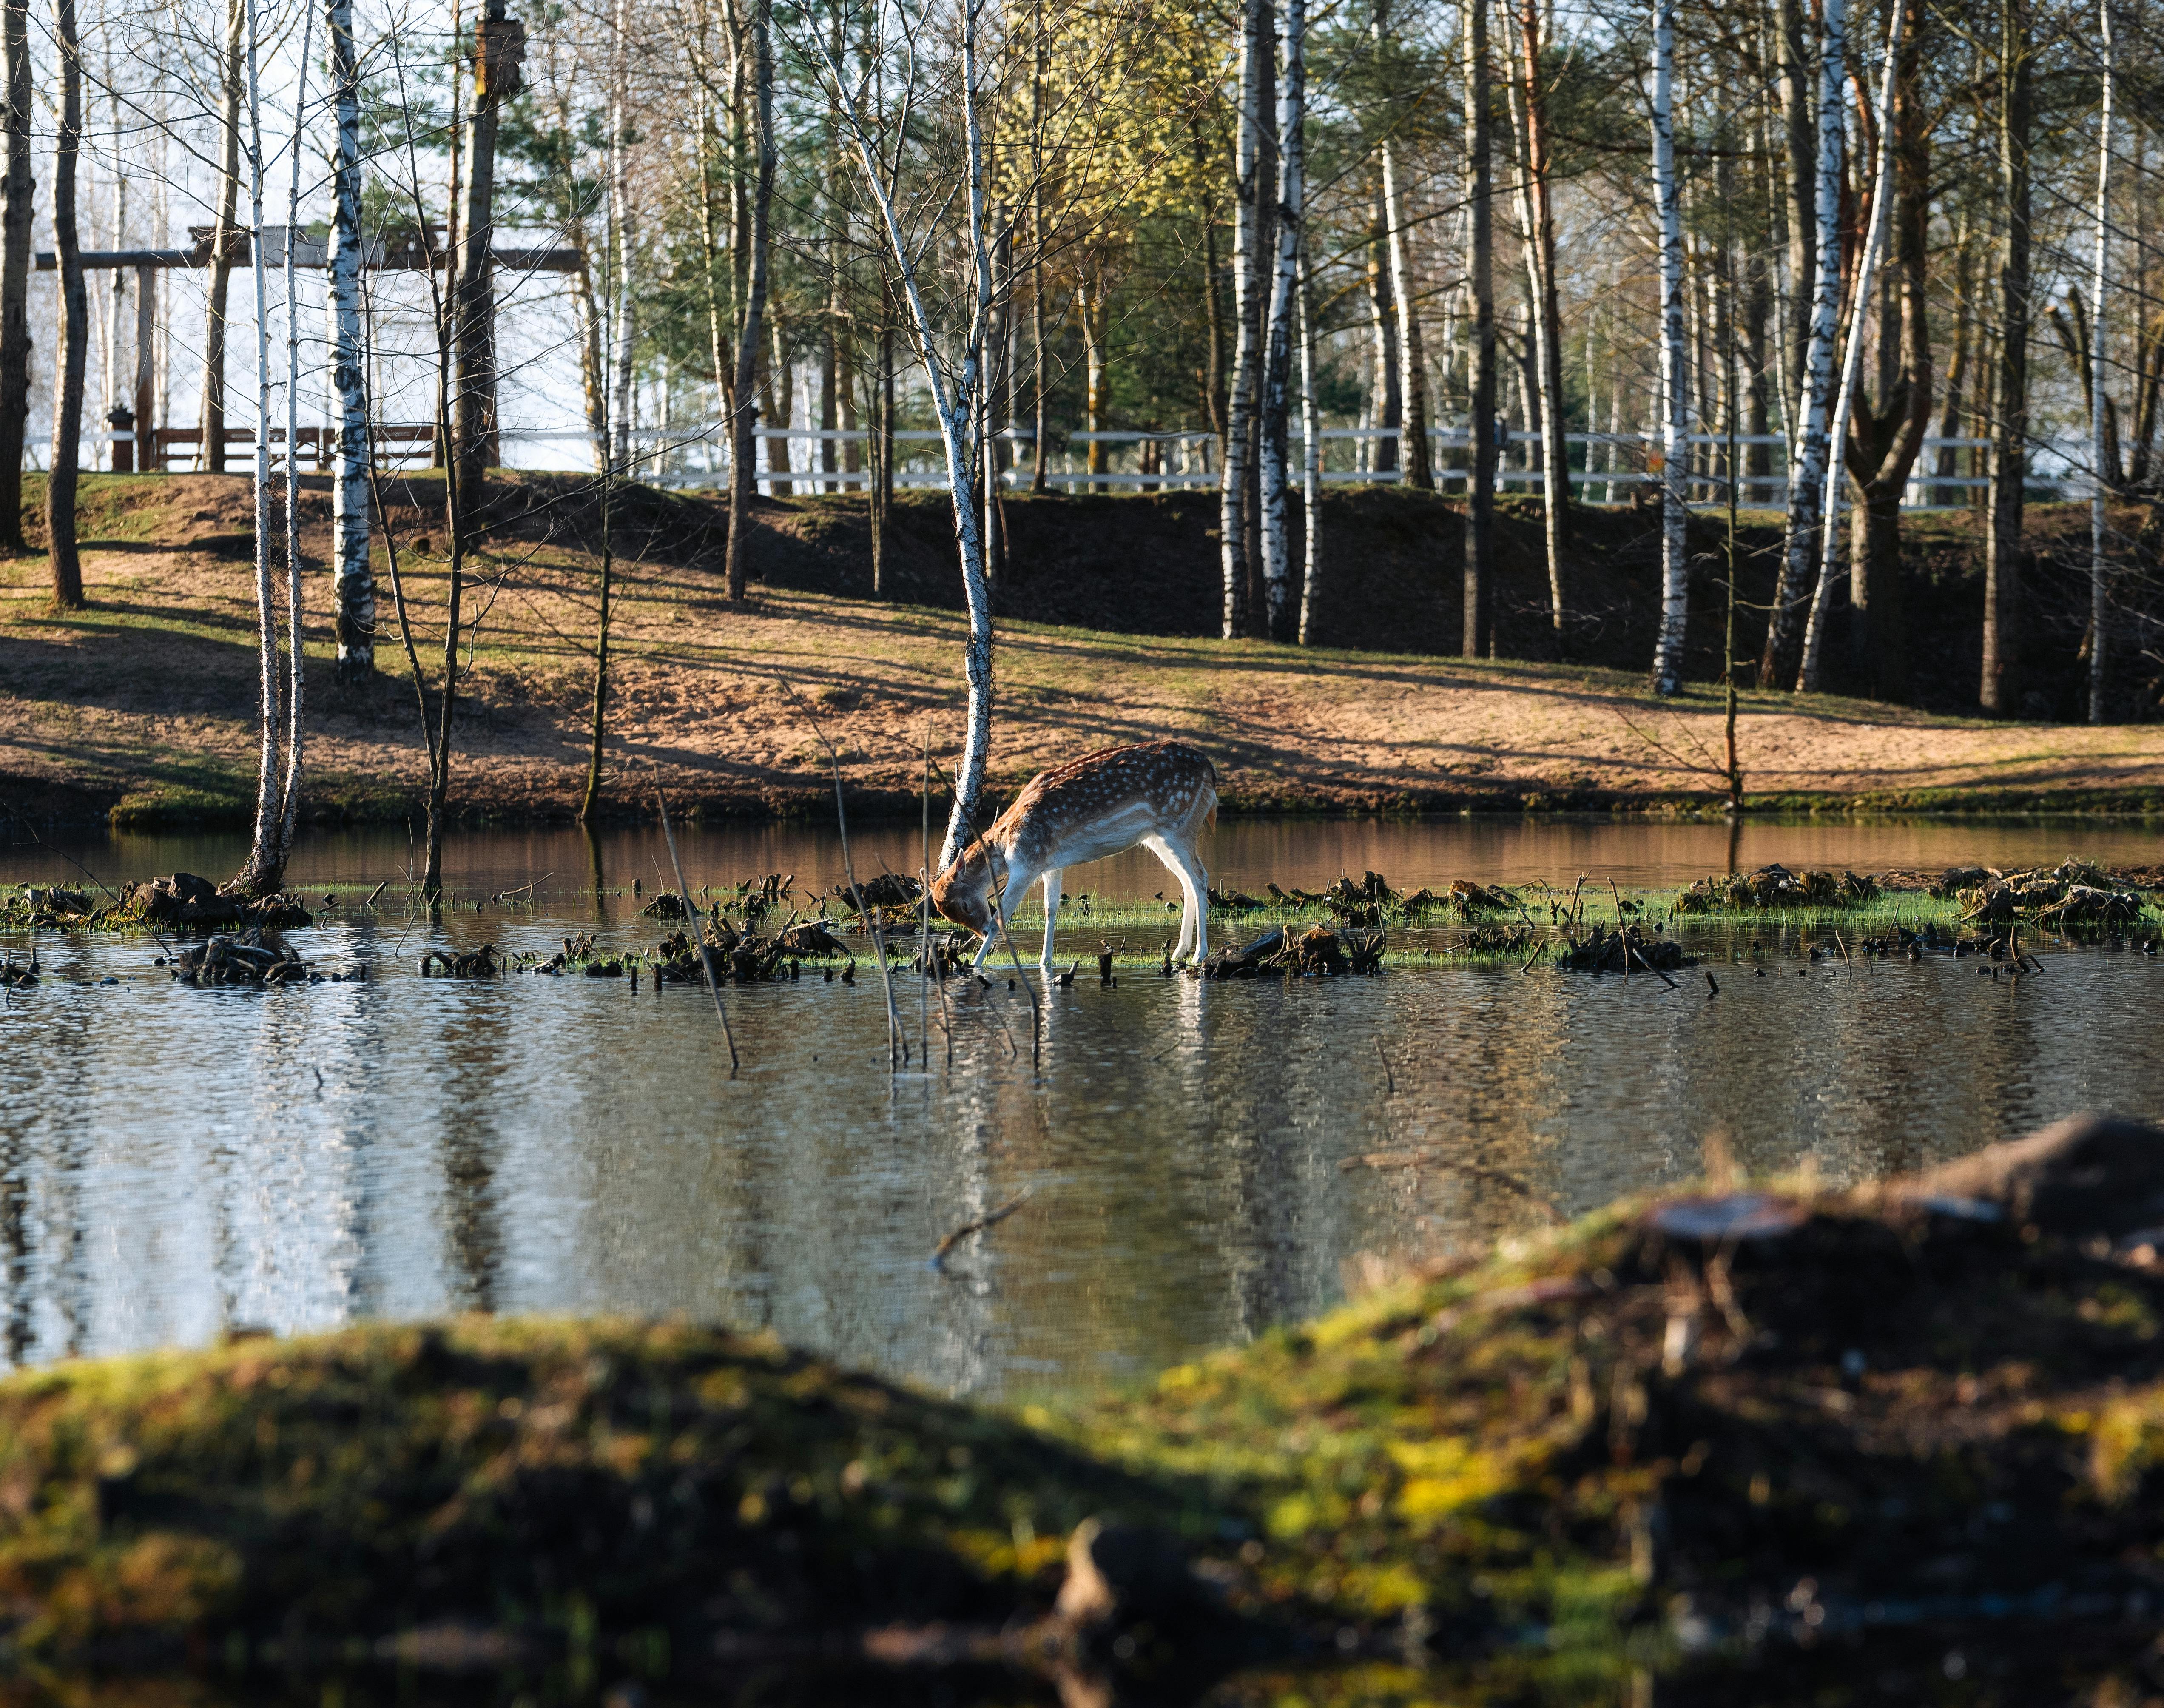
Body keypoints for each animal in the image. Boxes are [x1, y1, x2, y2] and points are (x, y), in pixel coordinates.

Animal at [929, 741, 1218, 976]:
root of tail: (1212, 773)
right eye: (951, 914)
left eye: (964, 905)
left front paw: (975, 964)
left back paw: (1199, 954)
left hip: (1179, 826)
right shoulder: (1050, 865)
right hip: (1158, 838)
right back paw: (1179, 951)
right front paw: (1045, 961)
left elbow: (1001, 915)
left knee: (1200, 878)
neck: (1006, 844)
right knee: (1187, 882)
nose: (981, 933)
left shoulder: (1027, 863)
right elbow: (1051, 909)